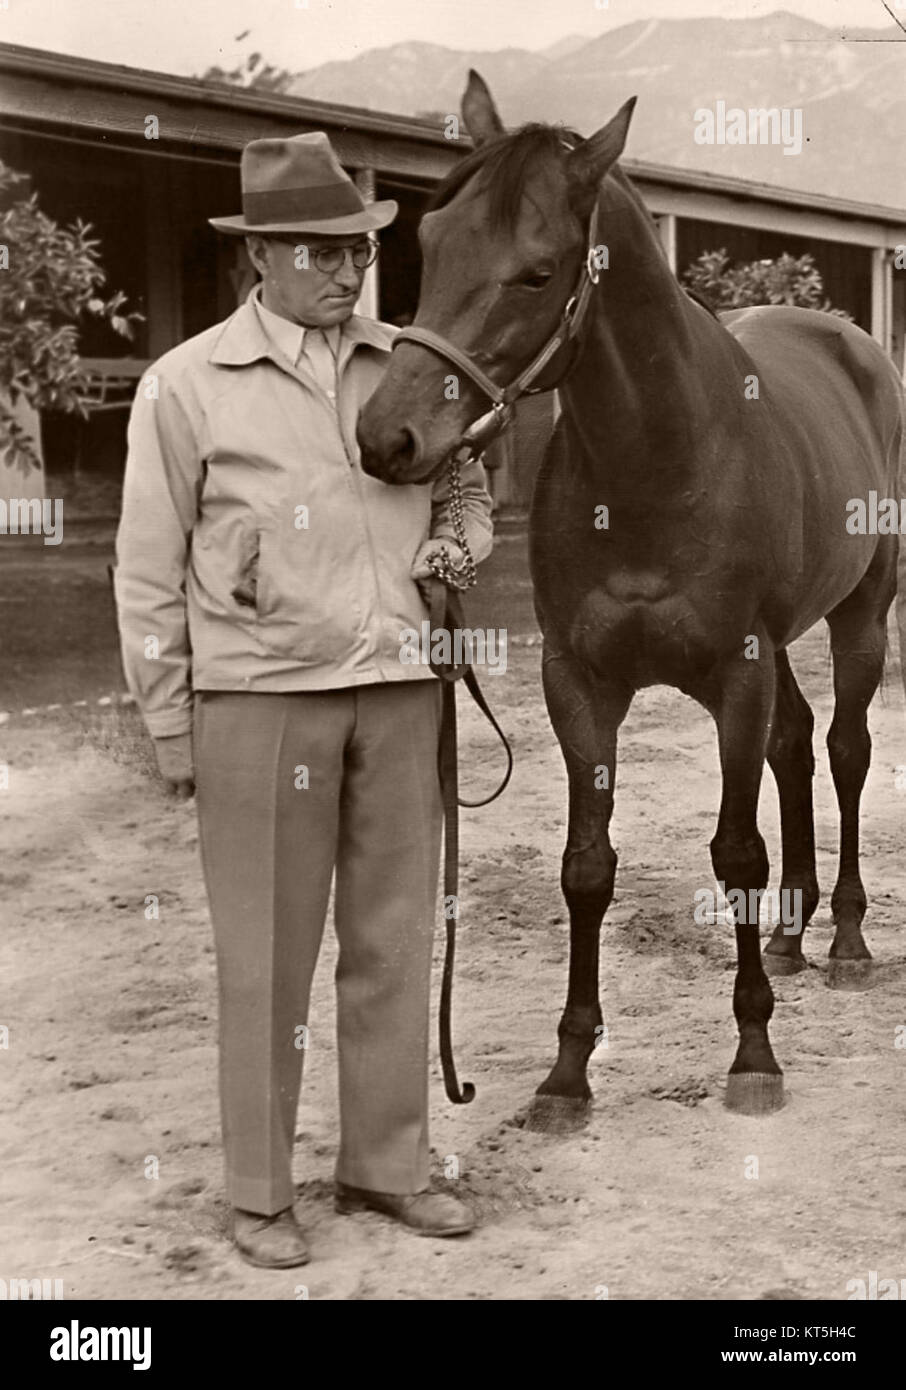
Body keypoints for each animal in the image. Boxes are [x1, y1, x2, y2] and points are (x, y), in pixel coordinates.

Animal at [357, 71, 906, 1124]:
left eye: (537, 274)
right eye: (431, 240)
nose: (385, 436)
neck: (660, 459)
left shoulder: (735, 674)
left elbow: (736, 854)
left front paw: (754, 1052)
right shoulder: (581, 683)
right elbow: (587, 866)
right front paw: (568, 1068)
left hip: (863, 613)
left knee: (846, 747)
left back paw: (850, 937)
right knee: (795, 745)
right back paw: (792, 933)